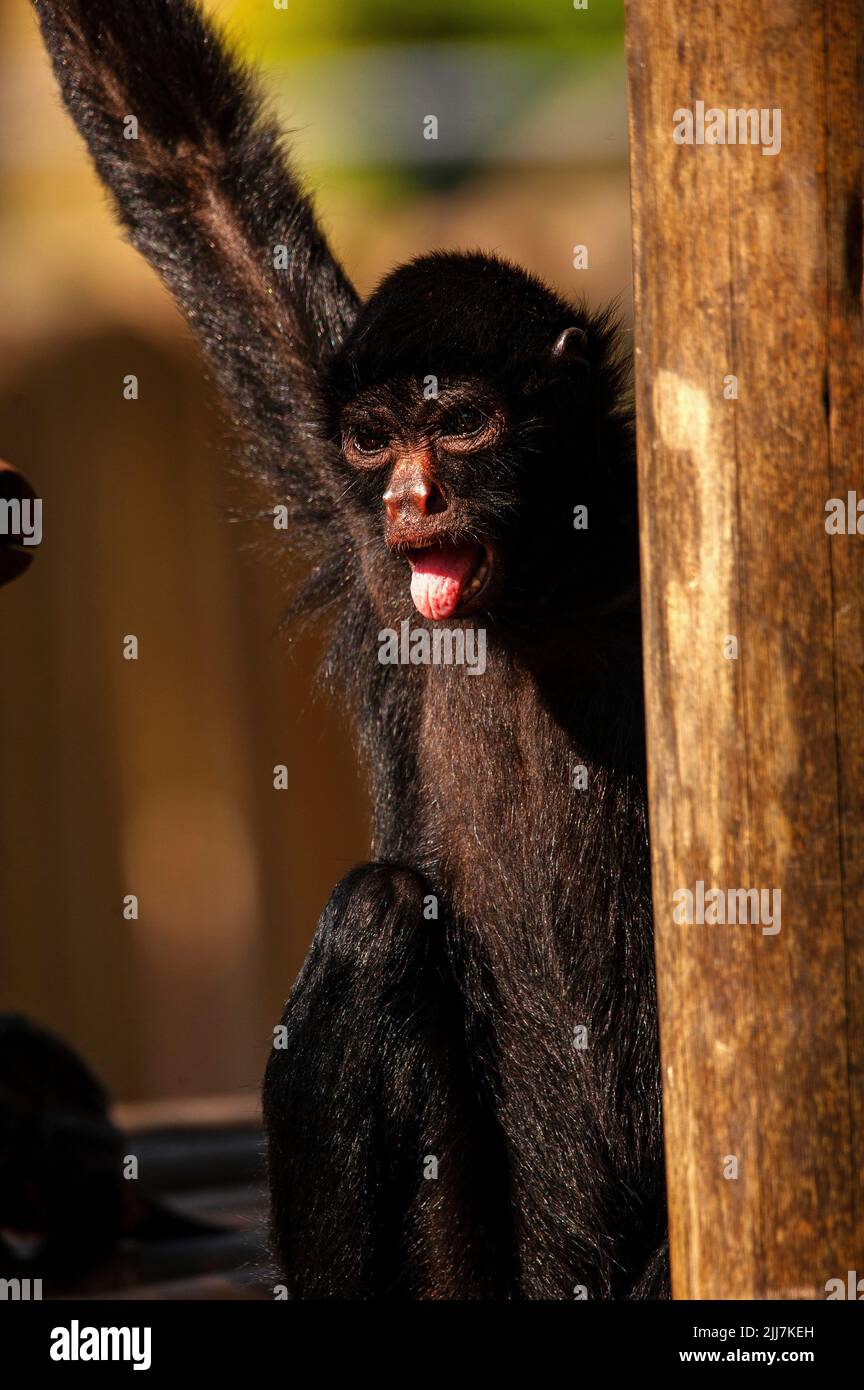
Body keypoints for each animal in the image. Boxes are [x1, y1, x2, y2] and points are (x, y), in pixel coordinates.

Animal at [33, 0, 668, 1299]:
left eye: (460, 422)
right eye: (378, 439)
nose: (413, 496)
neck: (537, 596)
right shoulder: (342, 501)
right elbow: (184, 158)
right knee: (379, 913)